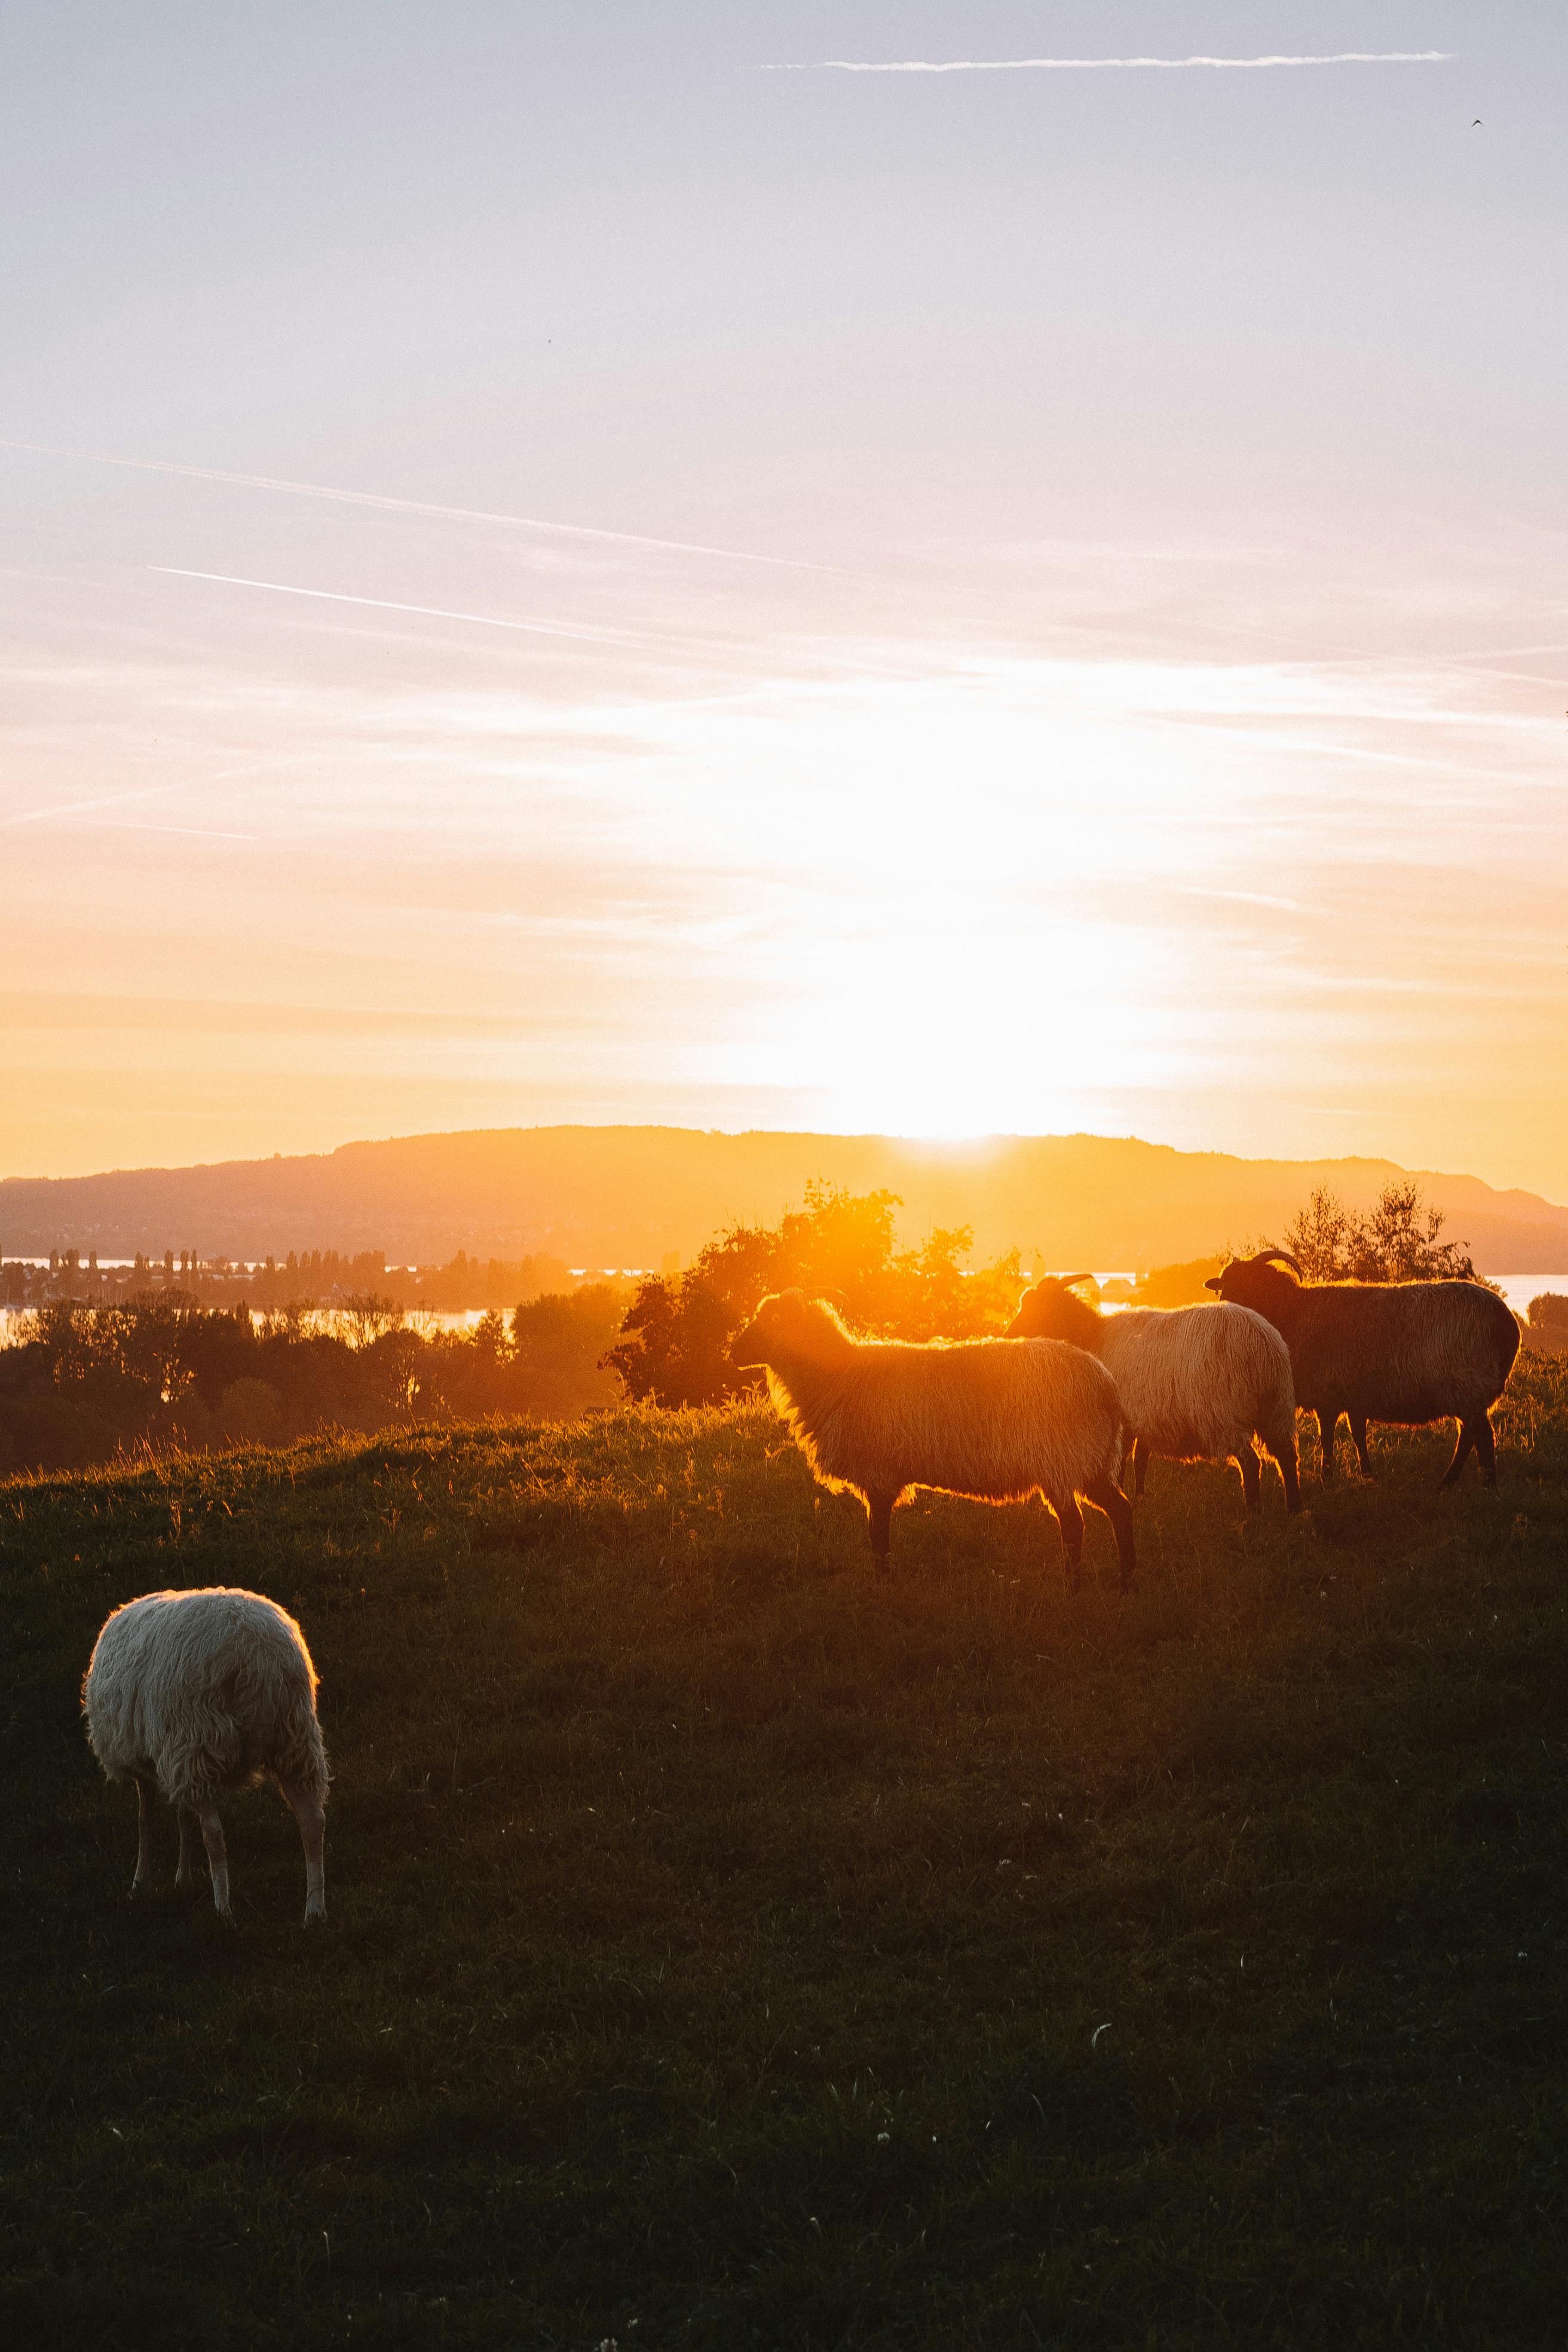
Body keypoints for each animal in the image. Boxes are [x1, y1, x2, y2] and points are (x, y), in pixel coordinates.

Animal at [83, 1587, 329, 1925]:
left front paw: (139, 1883)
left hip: (199, 1739)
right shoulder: (171, 1759)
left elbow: (146, 1820)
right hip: (293, 1739)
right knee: (312, 1822)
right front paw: (181, 1879)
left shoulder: (149, 1759)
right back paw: (314, 1908)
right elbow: (182, 1816)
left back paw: (222, 1906)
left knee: (214, 1832)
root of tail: (254, 1653)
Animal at [730, 1290, 1136, 1588]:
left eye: (771, 1321)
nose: (732, 1352)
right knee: (1121, 1509)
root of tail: (1104, 1382)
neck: (837, 1377)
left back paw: (1073, 1587)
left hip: (1061, 1459)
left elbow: (878, 1538)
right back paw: (1126, 1581)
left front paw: (883, 1586)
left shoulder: (879, 1475)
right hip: (1092, 1462)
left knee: (1074, 1524)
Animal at [1006, 1277, 1301, 1514]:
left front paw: (1127, 1495)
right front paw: (1140, 1499)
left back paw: (1253, 1512)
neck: (1093, 1335)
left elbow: (1122, 1465)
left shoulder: (1124, 1421)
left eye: (1039, 1306)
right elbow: (1141, 1461)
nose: (1008, 1334)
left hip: (1225, 1413)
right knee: (1287, 1456)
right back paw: (1294, 1509)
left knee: (1251, 1463)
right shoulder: (1145, 1418)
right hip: (1276, 1406)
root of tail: (1260, 1341)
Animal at [1203, 1251, 1520, 1486]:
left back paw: (1486, 1486)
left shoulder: (1328, 1394)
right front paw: (1367, 1474)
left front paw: (1327, 1478)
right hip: (1466, 1394)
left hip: (1469, 1386)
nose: (1223, 1309)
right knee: (1469, 1436)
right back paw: (1449, 1483)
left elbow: (1327, 1438)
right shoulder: (1354, 1396)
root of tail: (1507, 1322)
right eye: (1224, 1282)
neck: (1293, 1313)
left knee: (1482, 1437)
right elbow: (1358, 1436)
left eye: (1250, 1282)